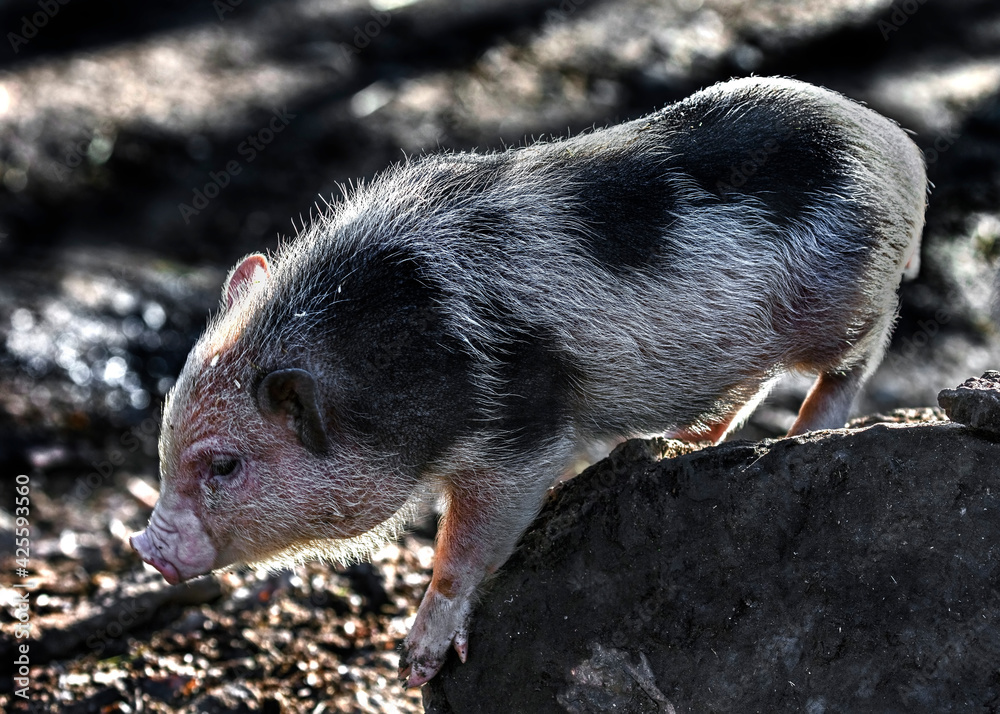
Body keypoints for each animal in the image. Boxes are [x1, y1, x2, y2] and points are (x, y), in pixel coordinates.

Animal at [130, 76, 927, 686]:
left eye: (225, 466)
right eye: (165, 449)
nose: (146, 547)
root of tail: (899, 148)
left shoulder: (523, 431)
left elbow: (468, 545)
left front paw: (413, 667)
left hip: (845, 297)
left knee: (864, 348)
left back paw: (807, 433)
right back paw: (689, 437)